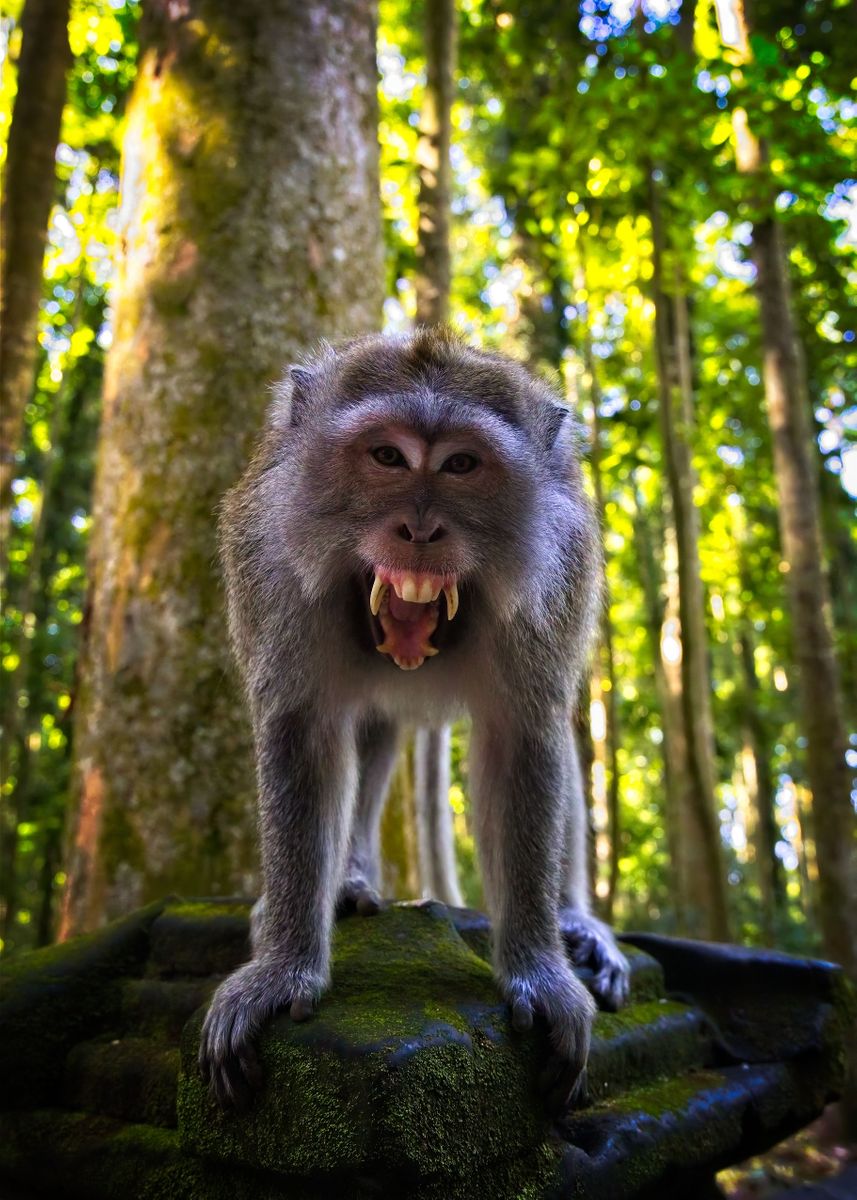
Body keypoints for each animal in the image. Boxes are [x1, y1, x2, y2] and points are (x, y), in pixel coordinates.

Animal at [199, 328, 630, 1112]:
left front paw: (538, 969)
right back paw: (340, 884)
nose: (419, 529)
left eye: (461, 465)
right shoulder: (270, 564)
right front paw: (281, 966)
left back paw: (574, 922)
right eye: (387, 458)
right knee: (368, 733)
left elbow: (525, 742)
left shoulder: (559, 577)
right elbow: (304, 736)